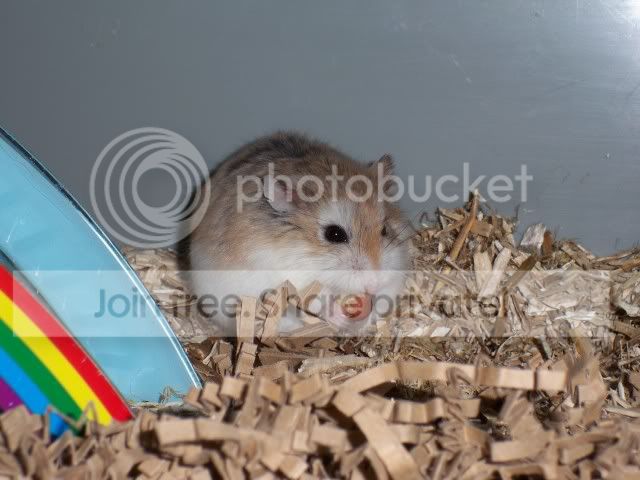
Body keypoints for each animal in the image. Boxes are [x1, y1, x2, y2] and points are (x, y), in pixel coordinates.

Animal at [183, 132, 410, 334]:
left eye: (385, 229)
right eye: (335, 234)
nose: (373, 285)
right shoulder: (289, 281)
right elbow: (313, 303)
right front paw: (338, 314)